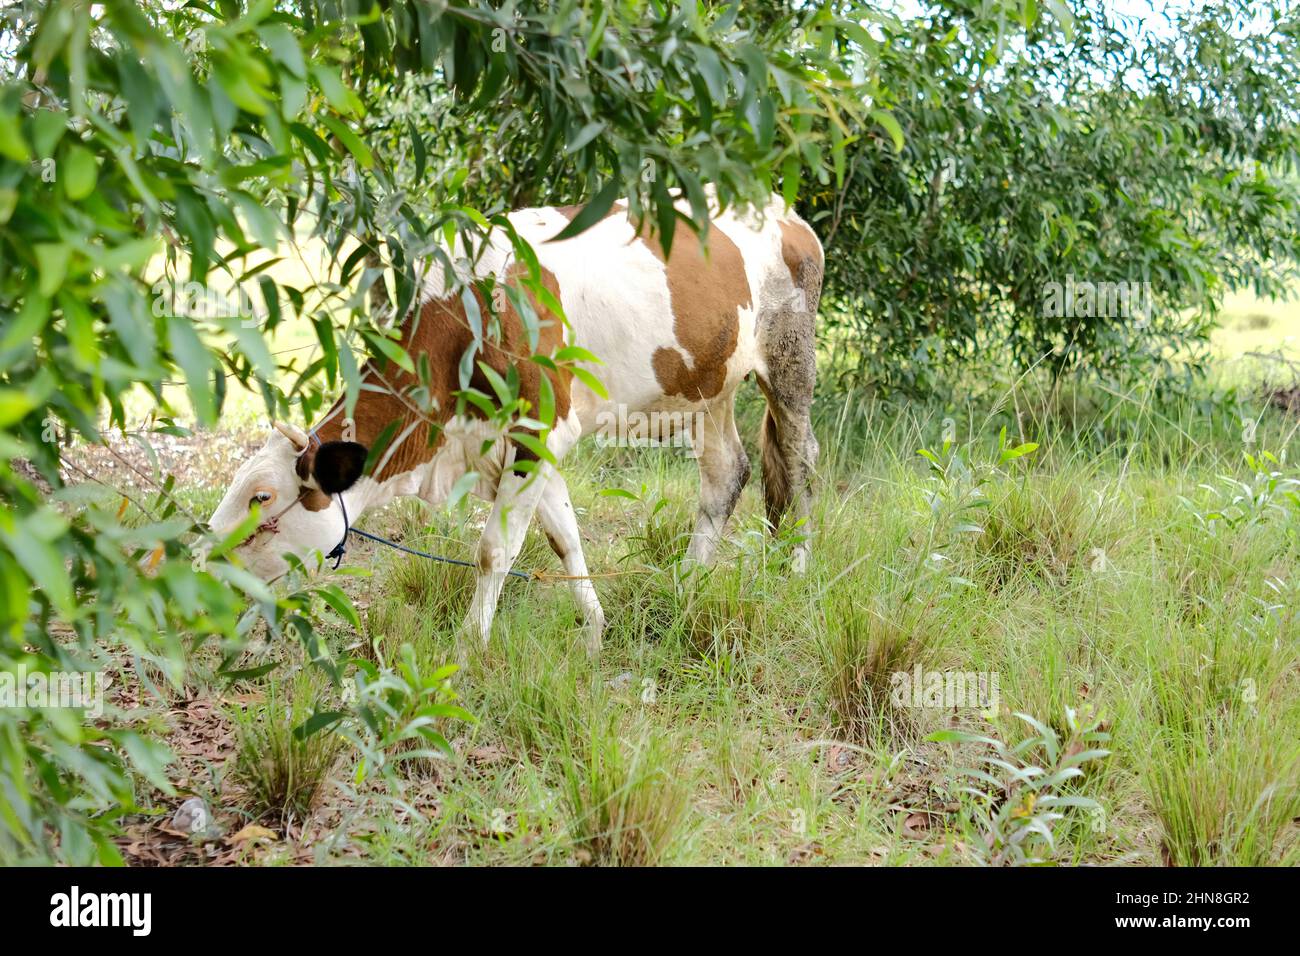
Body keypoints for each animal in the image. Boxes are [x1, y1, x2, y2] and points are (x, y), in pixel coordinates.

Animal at [207, 191, 822, 654]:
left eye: (262, 499)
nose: (205, 570)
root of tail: (785, 213)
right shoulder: (517, 443)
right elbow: (564, 535)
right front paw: (595, 633)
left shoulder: (540, 427)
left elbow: (494, 550)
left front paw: (467, 649)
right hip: (711, 387)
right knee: (726, 473)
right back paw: (687, 584)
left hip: (790, 359)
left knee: (799, 464)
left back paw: (796, 571)